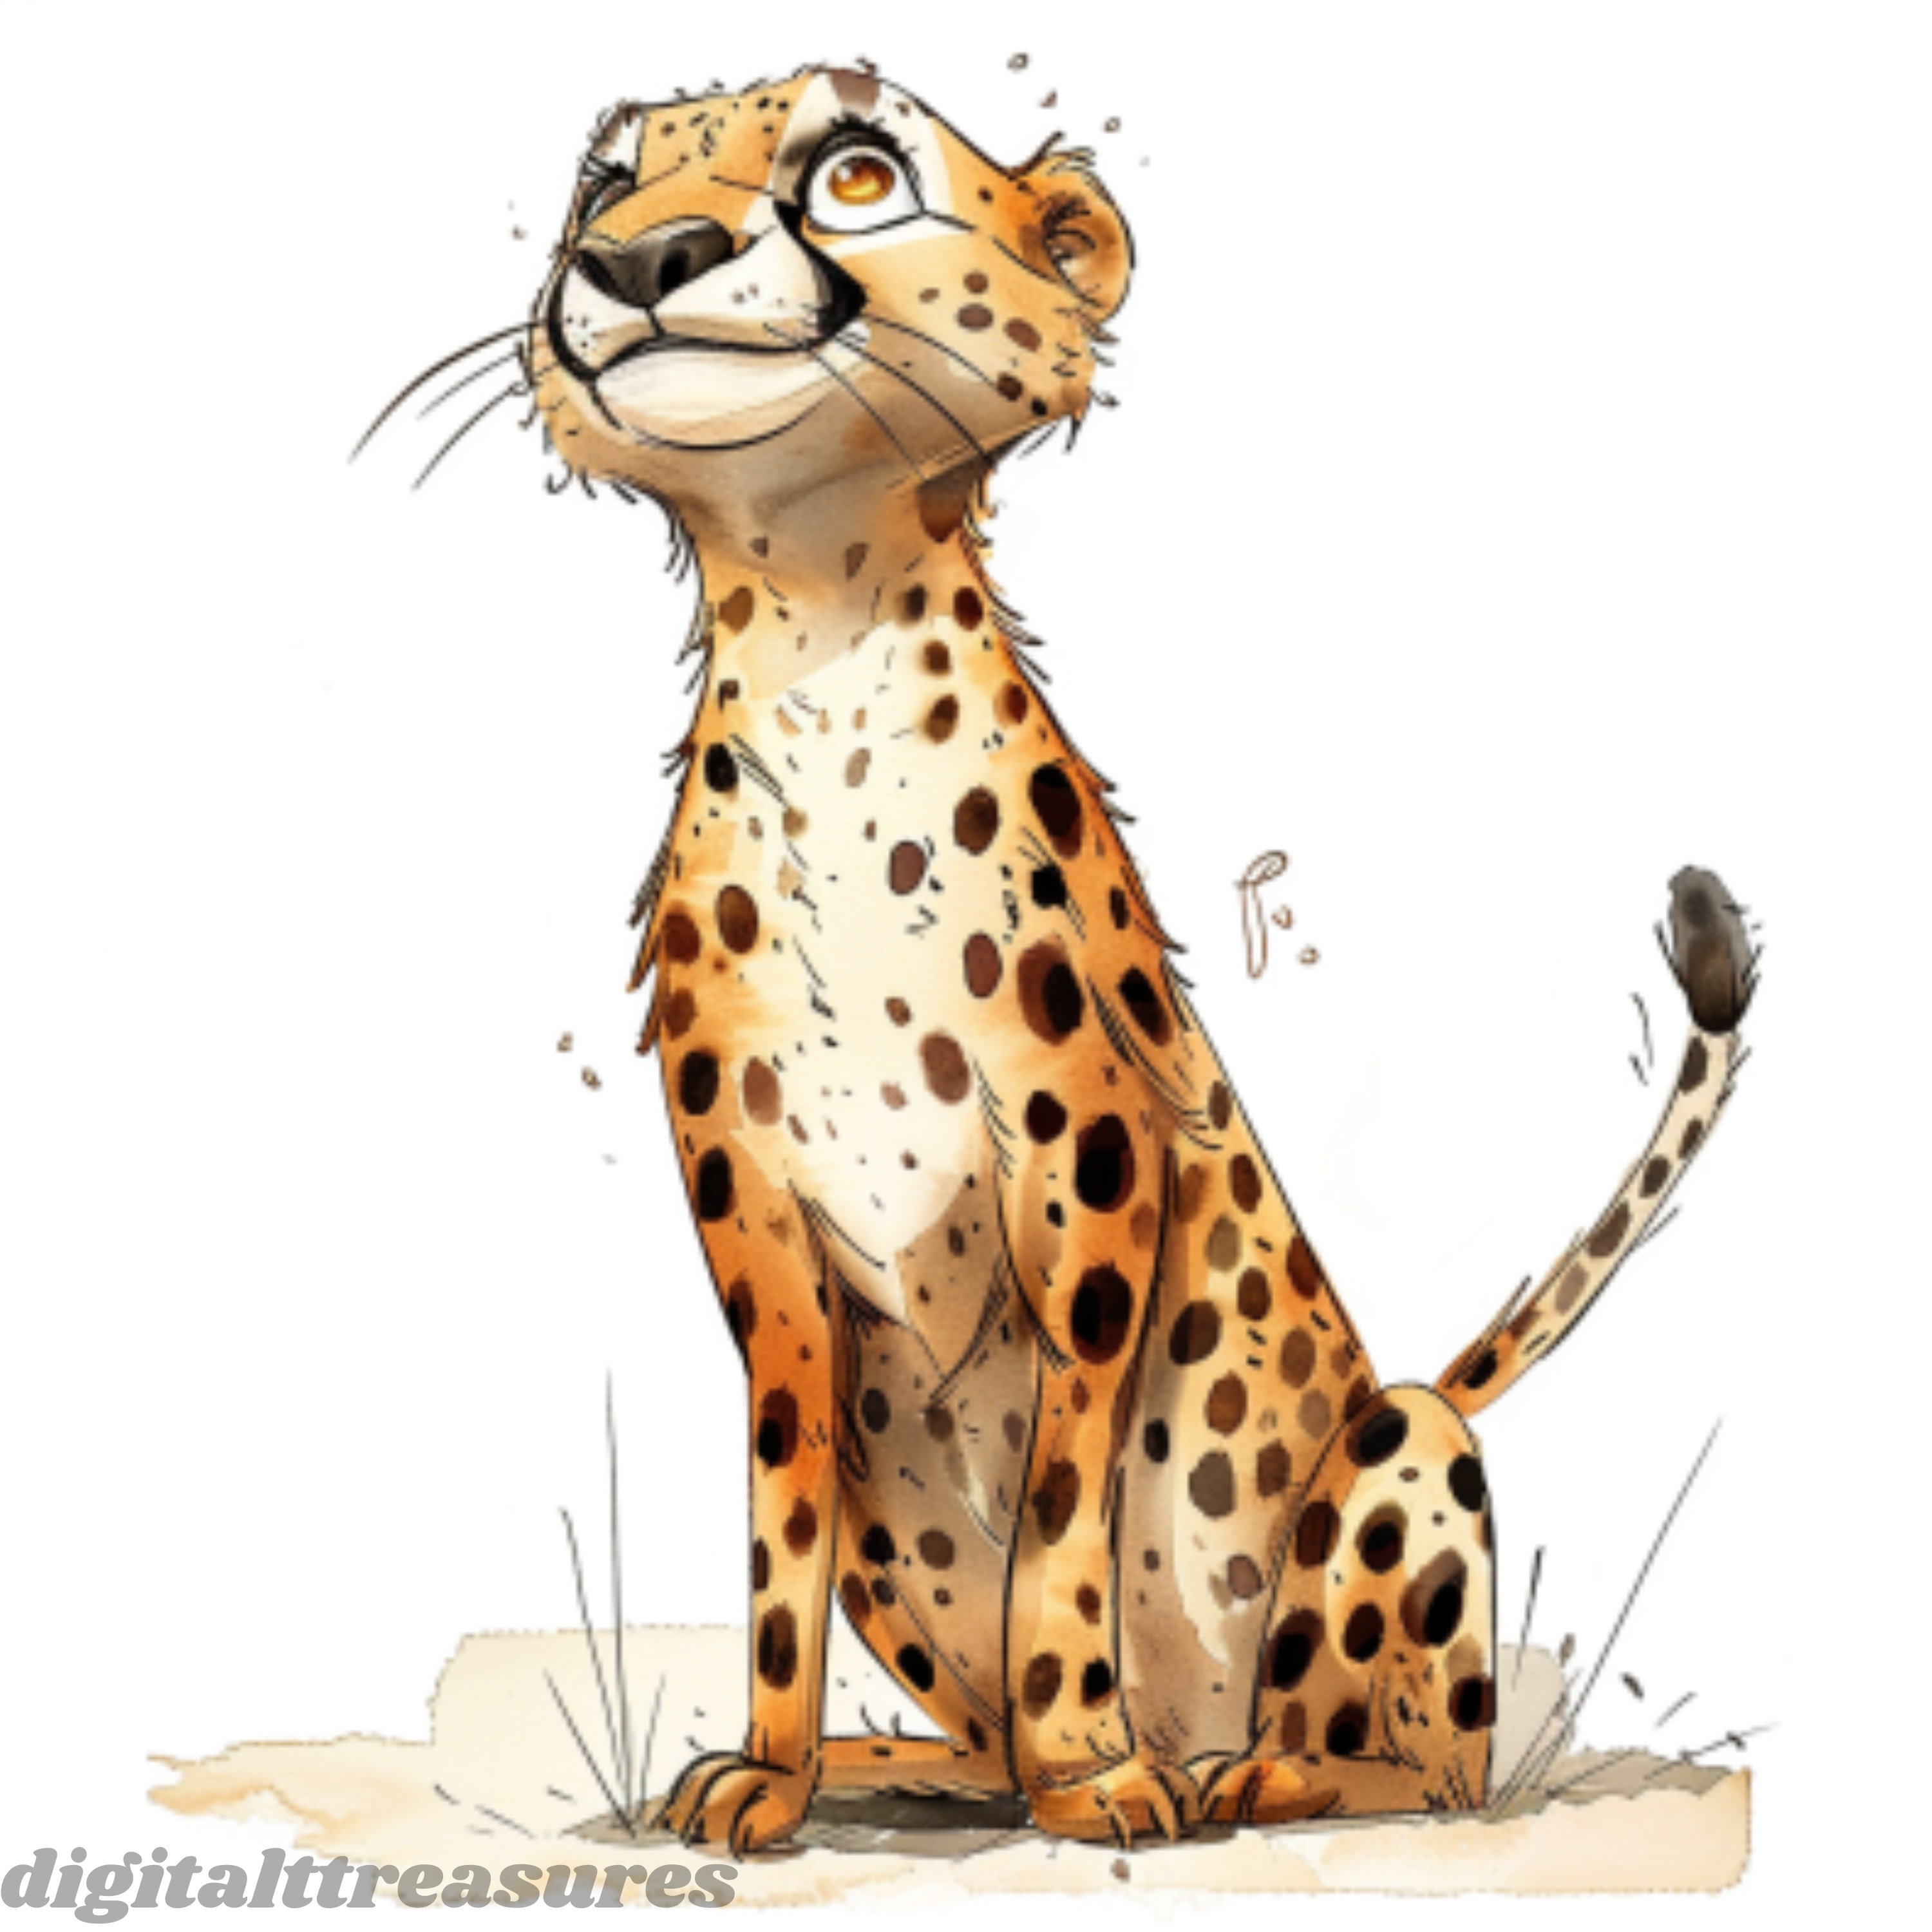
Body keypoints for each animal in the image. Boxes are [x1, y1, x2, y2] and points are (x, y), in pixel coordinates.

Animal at [506, 64, 1756, 1853]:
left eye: (858, 168)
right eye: (602, 185)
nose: (639, 256)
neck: (824, 650)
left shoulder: (1091, 1177)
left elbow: (1063, 1503)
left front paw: (1094, 1770)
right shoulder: (759, 1229)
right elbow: (779, 1518)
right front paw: (772, 1768)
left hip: (1400, 1449)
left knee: (1429, 1757)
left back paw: (1247, 1765)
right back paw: (920, 1759)